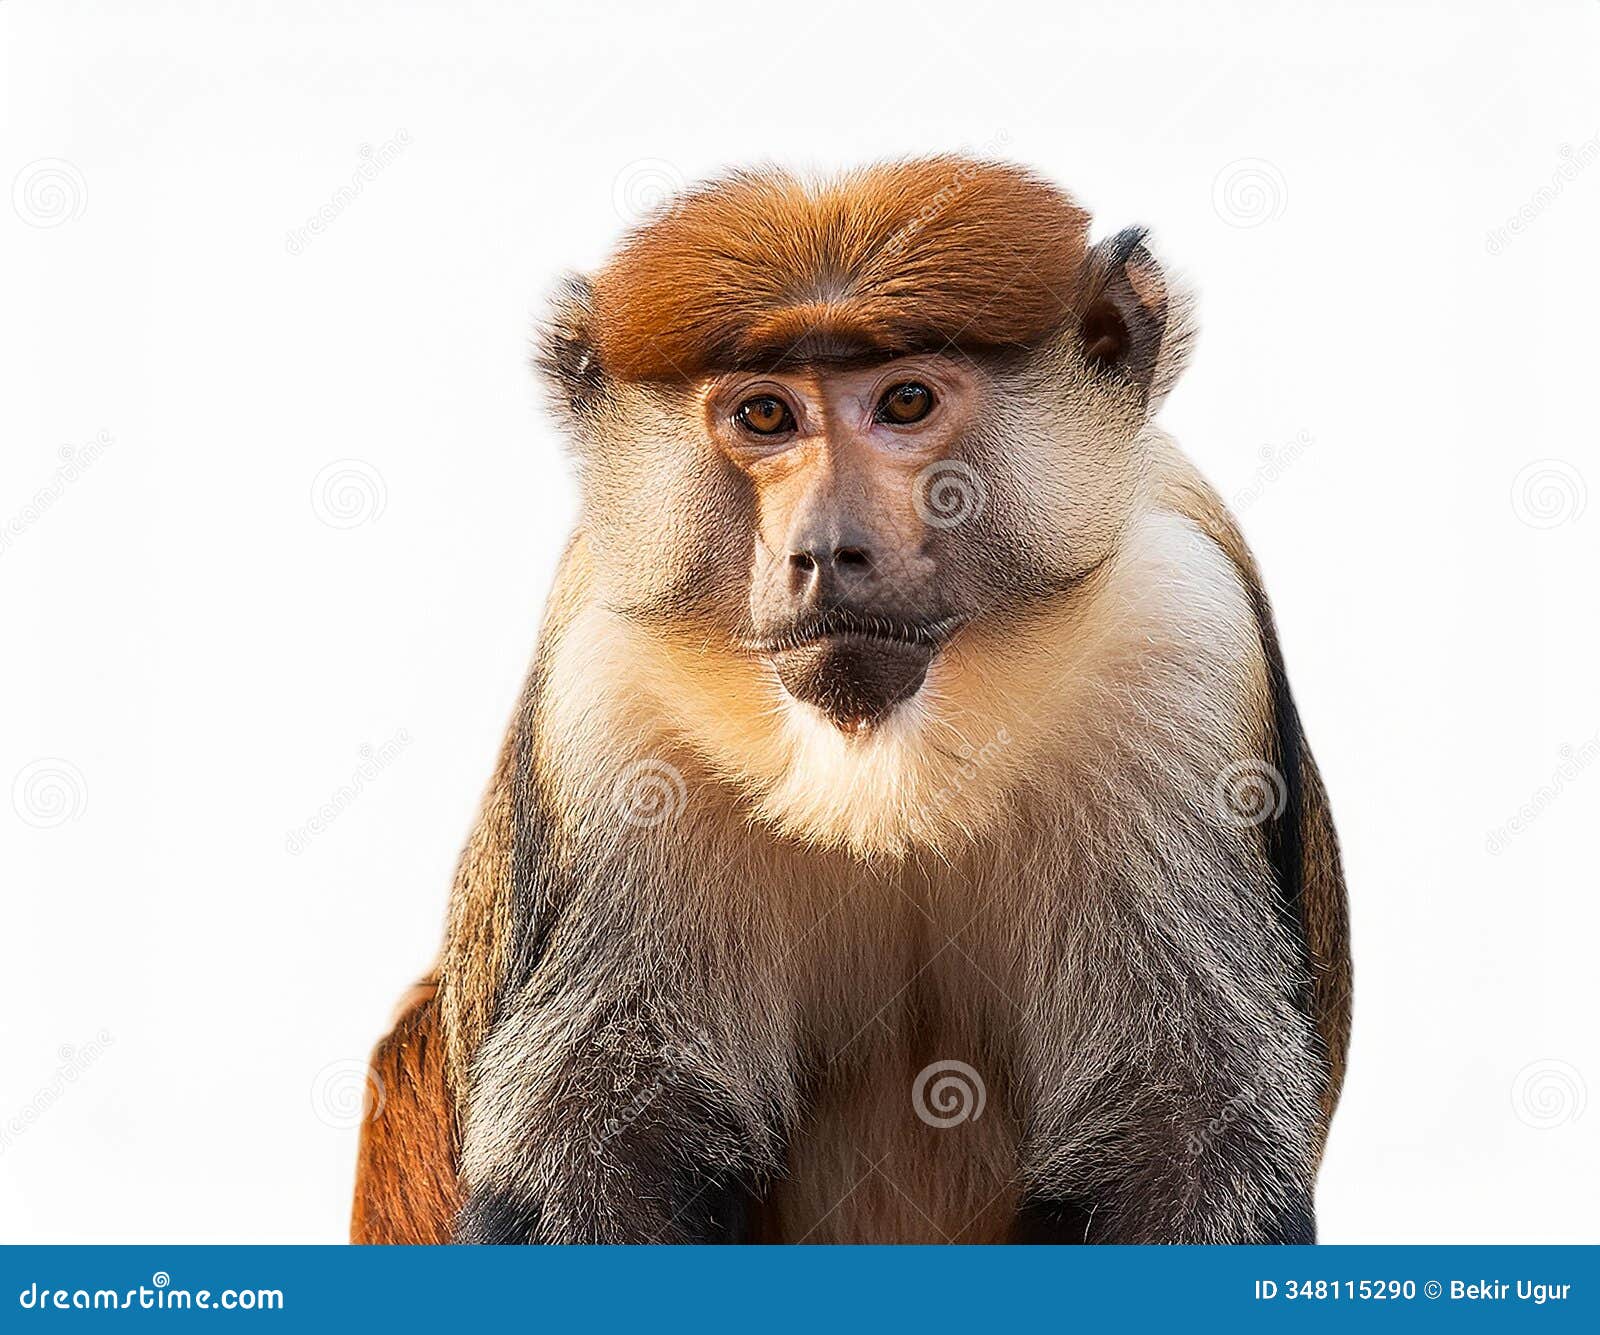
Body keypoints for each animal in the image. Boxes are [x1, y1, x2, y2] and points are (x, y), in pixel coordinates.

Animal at [349, 156, 1351, 1246]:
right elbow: (592, 1172)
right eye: (765, 416)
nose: (827, 551)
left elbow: (1185, 1149)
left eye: (906, 400)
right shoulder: (606, 701)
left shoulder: (1183, 644)